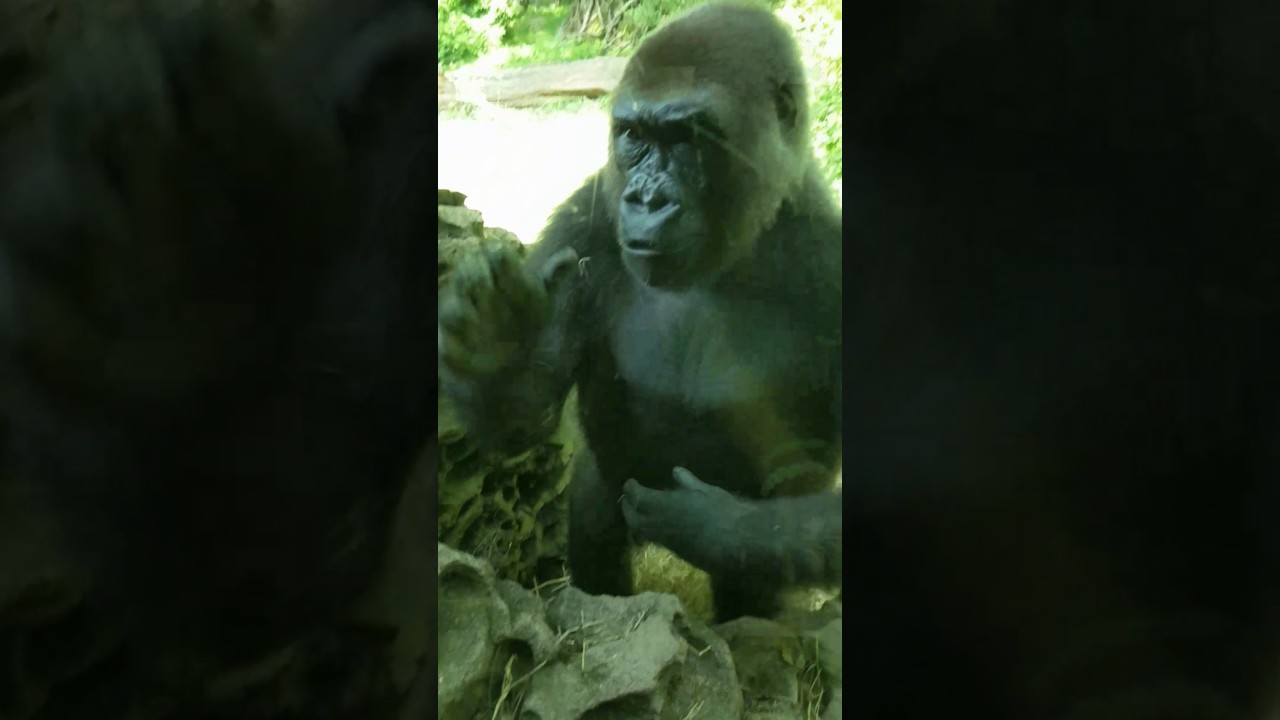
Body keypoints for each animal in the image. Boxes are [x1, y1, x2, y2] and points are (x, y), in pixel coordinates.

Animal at [438, 2, 843, 623]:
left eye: (685, 136)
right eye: (634, 135)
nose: (648, 200)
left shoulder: (833, 261)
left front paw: (713, 525)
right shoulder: (589, 214)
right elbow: (524, 415)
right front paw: (495, 351)